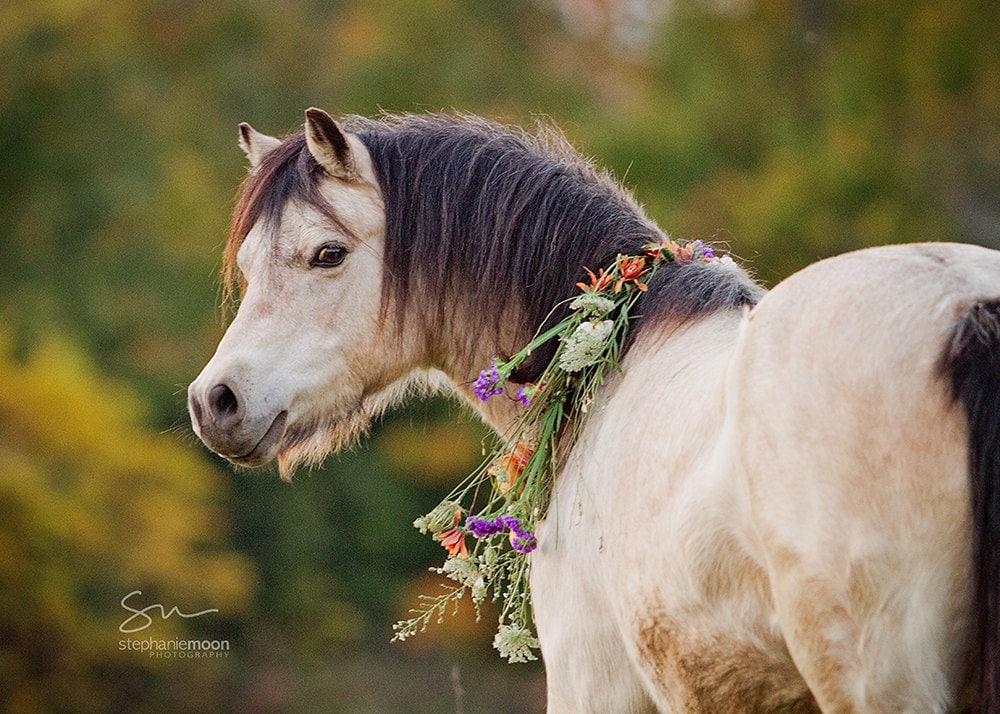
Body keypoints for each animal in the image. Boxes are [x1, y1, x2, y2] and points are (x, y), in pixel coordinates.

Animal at [188, 107, 1000, 712]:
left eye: (327, 254)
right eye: (248, 265)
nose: (213, 401)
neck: (610, 353)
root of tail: (969, 316)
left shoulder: (592, 683)